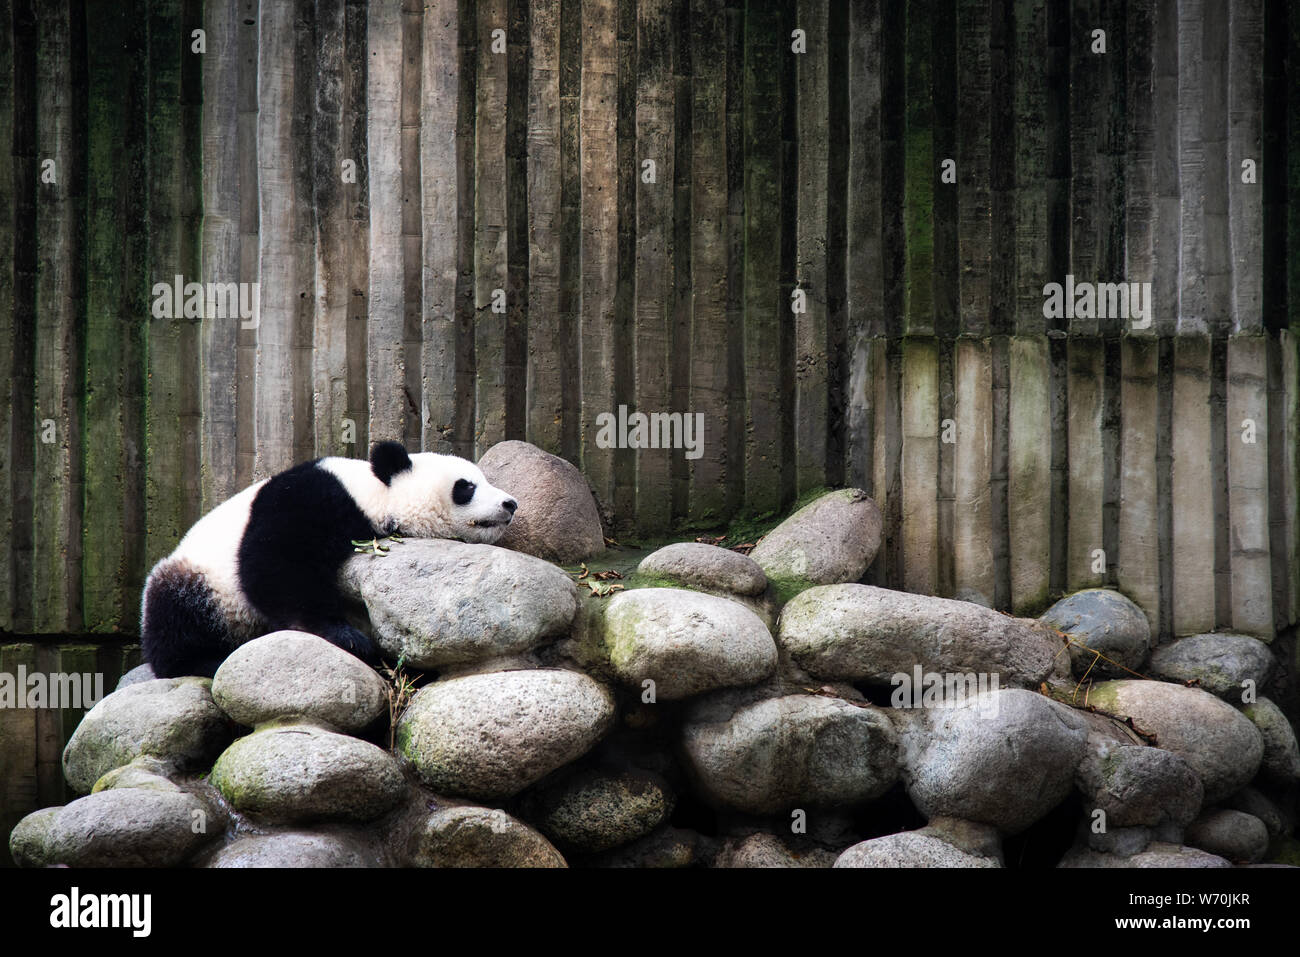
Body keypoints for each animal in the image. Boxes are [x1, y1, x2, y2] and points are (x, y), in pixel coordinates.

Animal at [141, 441, 517, 679]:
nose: (511, 503)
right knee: (177, 617)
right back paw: (203, 661)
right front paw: (347, 636)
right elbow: (272, 568)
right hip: (198, 581)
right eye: (466, 487)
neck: (372, 492)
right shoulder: (307, 499)